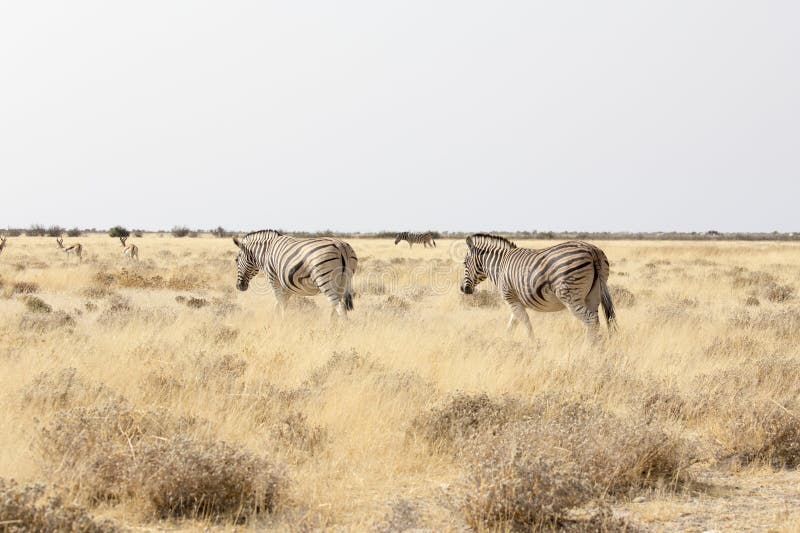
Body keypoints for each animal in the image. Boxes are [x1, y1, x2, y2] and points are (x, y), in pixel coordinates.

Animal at [460, 234, 615, 343]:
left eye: (464, 263)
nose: (463, 289)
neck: (500, 266)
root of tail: (592, 250)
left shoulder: (510, 297)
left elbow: (525, 322)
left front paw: (532, 343)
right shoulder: (517, 301)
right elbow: (512, 324)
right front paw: (505, 341)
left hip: (570, 296)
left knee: (591, 320)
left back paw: (586, 350)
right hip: (593, 296)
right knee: (596, 321)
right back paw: (595, 348)